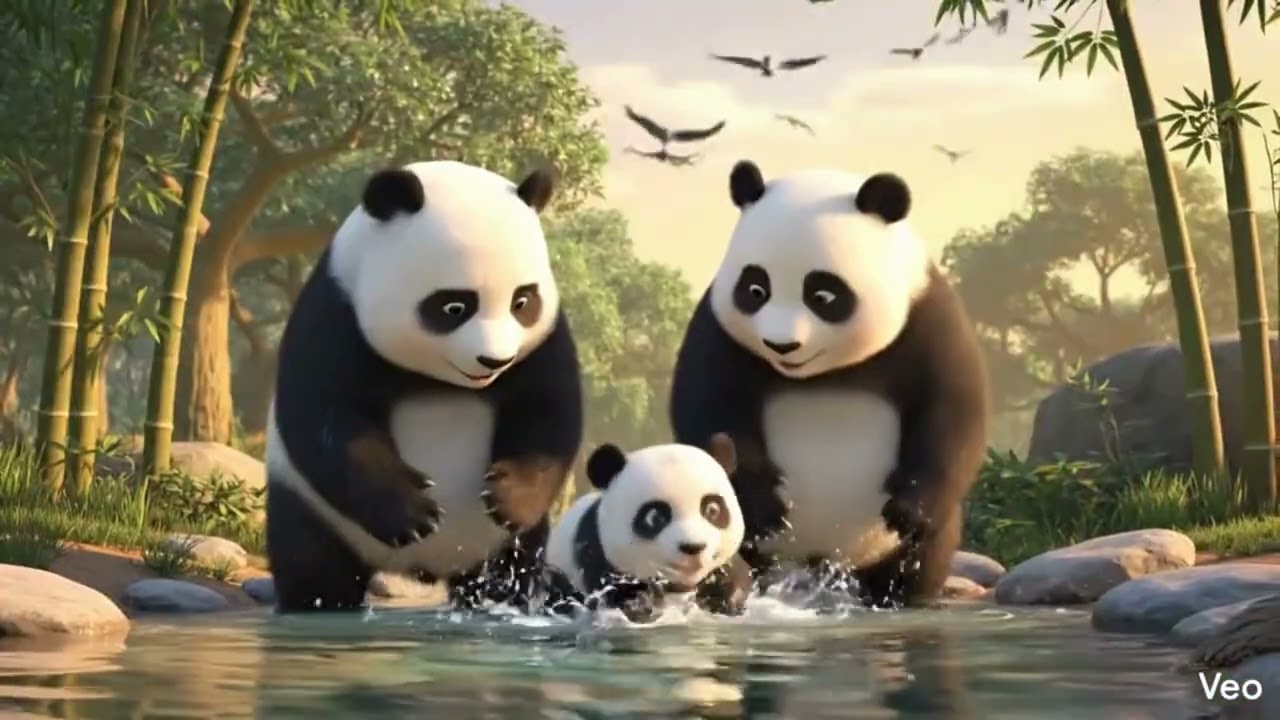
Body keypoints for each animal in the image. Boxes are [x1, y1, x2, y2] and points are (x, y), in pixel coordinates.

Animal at [264, 160, 583, 613]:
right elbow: (325, 415)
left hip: (495, 546)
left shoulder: (543, 342)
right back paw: (317, 601)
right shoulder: (336, 312)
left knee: (511, 567)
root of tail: (423, 569)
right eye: (454, 306)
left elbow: (548, 411)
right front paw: (414, 515)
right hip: (313, 506)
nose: (494, 361)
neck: (440, 379)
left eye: (522, 302)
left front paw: (509, 499)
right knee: (312, 558)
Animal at [542, 434, 749, 623]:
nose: (693, 547)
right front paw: (642, 606)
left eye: (712, 510)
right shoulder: (596, 553)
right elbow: (613, 592)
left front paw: (725, 602)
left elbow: (736, 575)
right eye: (654, 517)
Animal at [668, 159, 989, 609]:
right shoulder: (718, 328)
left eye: (823, 295)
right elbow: (710, 410)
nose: (781, 345)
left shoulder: (926, 315)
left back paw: (899, 596)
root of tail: (820, 561)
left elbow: (952, 409)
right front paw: (766, 506)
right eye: (755, 289)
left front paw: (909, 512)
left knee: (921, 557)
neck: (822, 373)